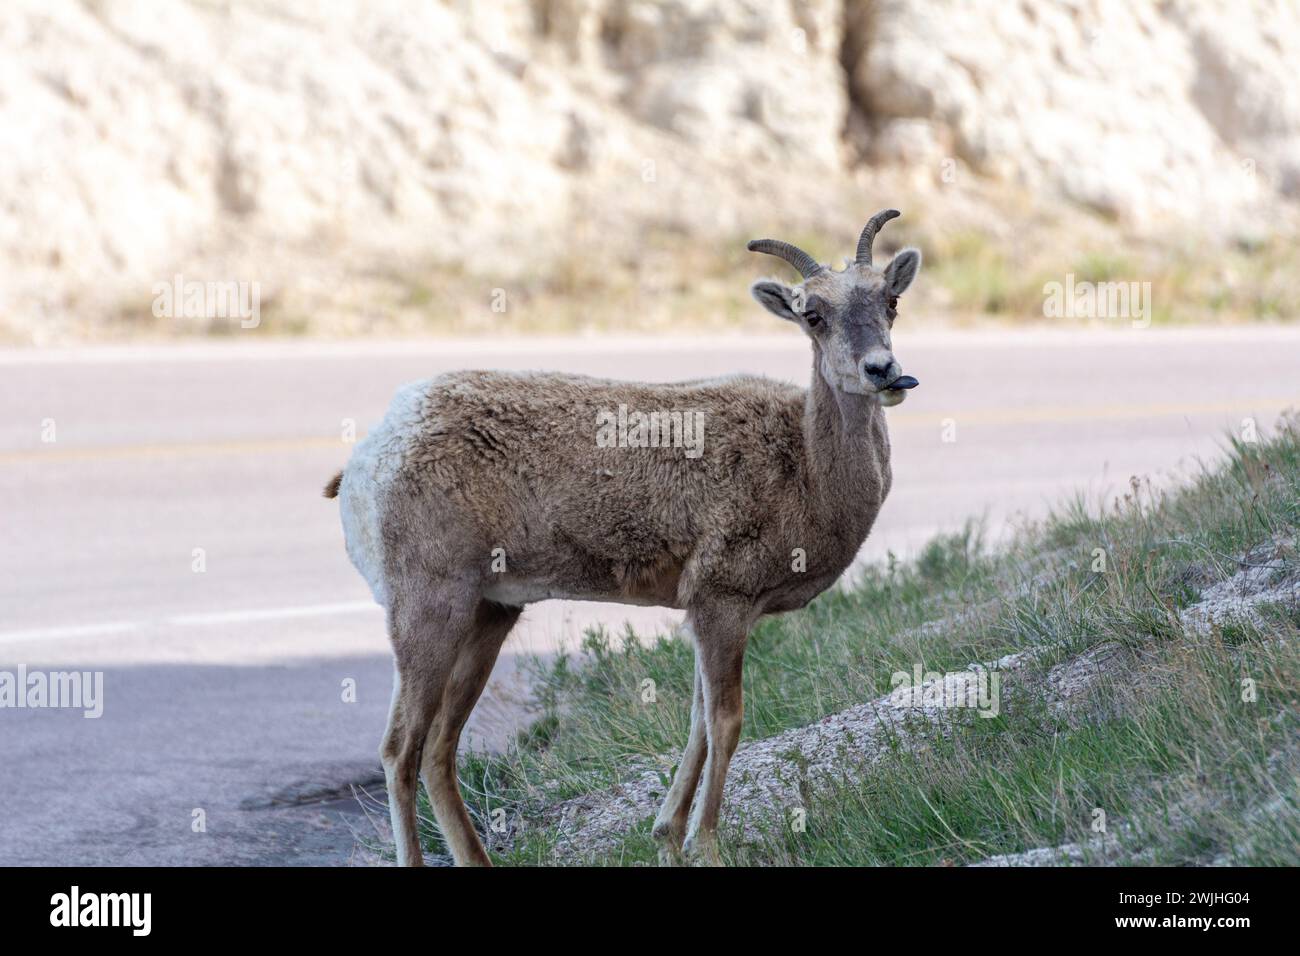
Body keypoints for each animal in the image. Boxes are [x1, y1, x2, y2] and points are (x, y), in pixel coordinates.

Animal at [325, 209, 922, 866]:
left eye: (891, 300)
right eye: (812, 315)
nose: (882, 371)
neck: (806, 471)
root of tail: (367, 460)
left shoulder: (706, 612)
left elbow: (698, 723)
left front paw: (667, 836)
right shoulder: (722, 600)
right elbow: (726, 723)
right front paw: (706, 845)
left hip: (490, 613)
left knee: (438, 748)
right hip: (428, 608)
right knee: (400, 749)